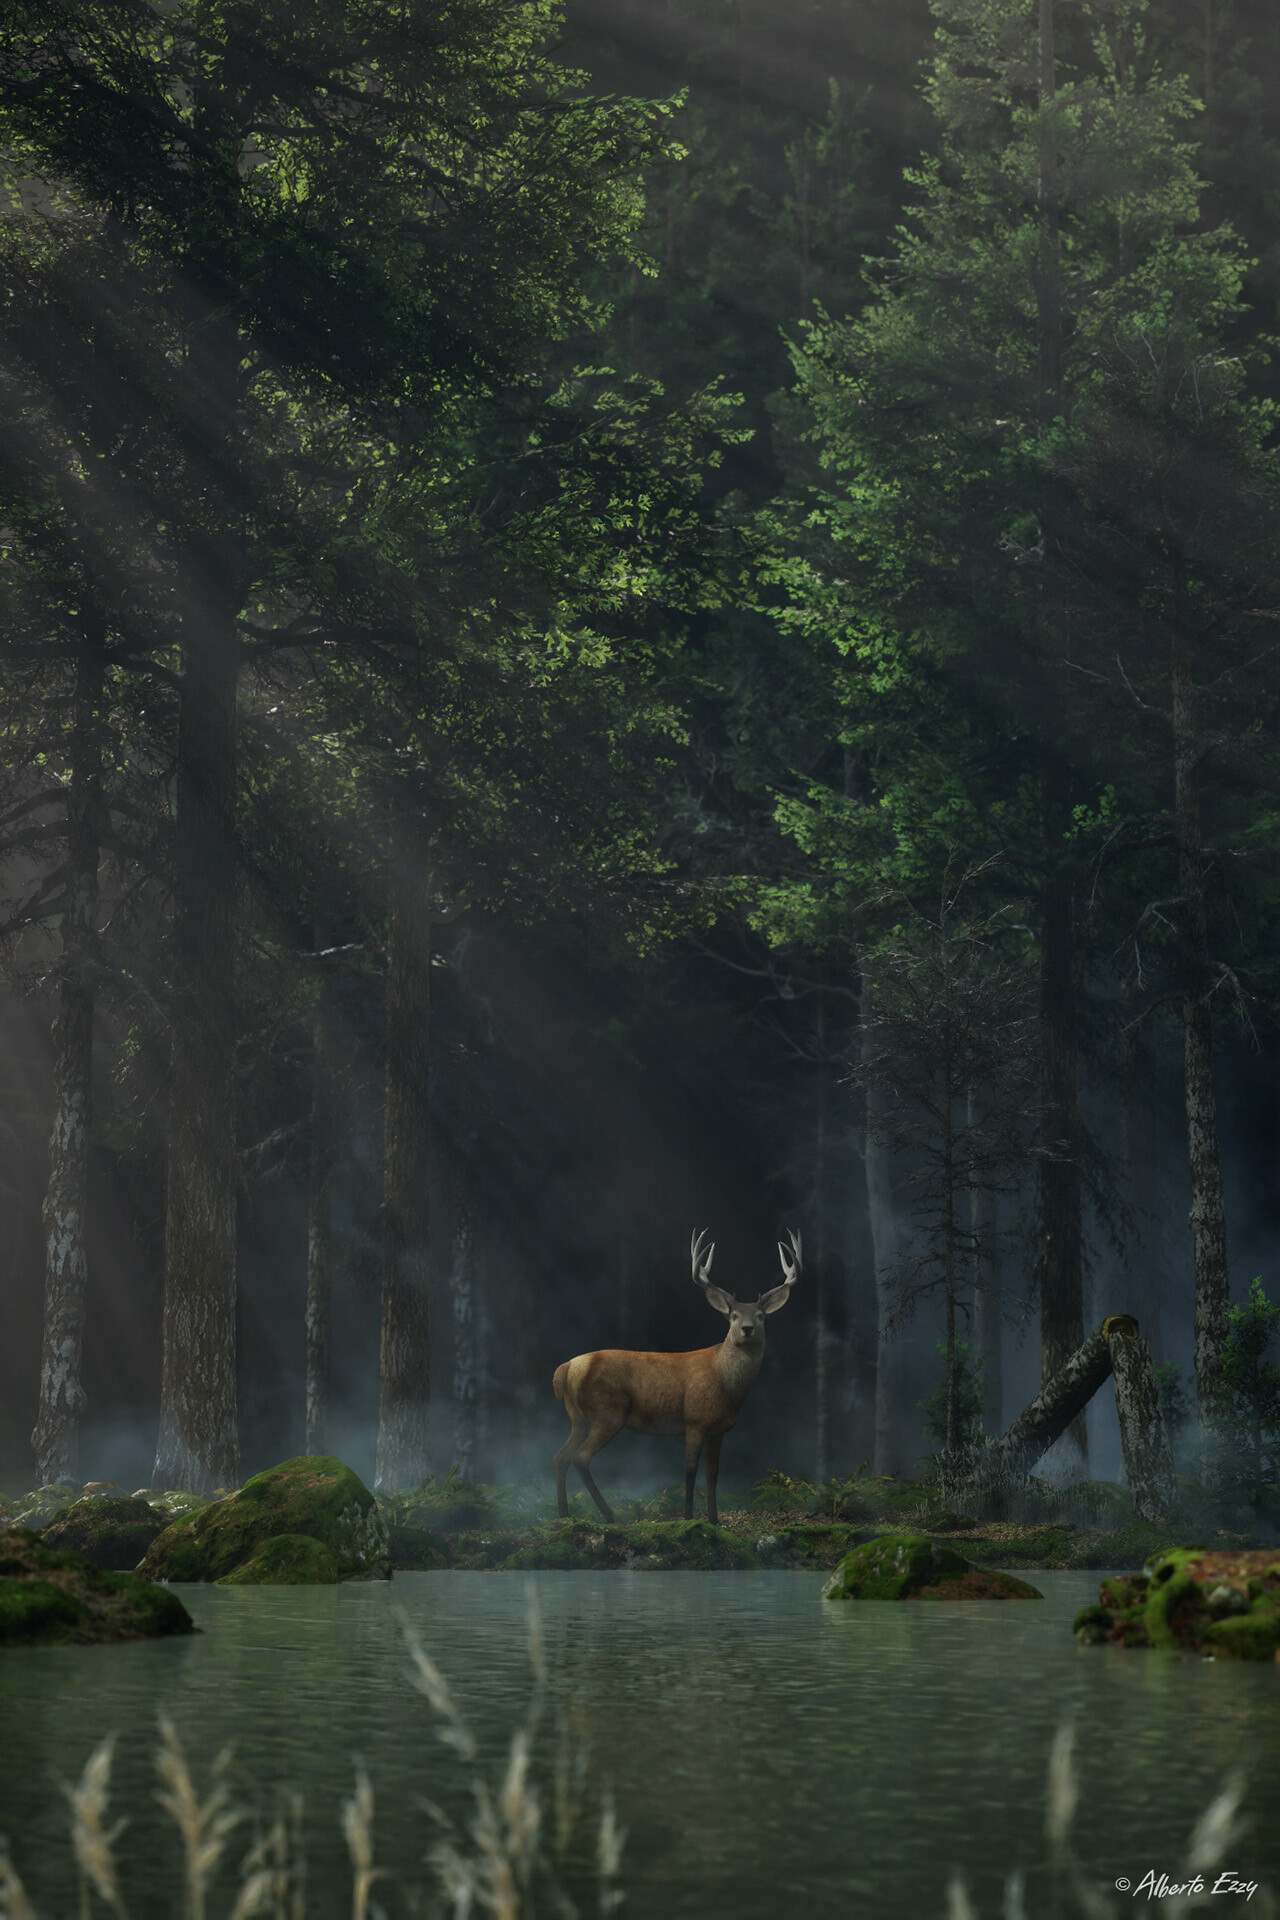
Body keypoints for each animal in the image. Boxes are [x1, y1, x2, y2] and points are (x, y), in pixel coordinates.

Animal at [552, 1228, 800, 1526]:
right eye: (733, 1316)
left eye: (761, 1315)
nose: (748, 1329)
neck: (726, 1383)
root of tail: (567, 1367)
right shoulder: (695, 1420)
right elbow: (689, 1472)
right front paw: (689, 1517)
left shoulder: (718, 1429)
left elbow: (713, 1475)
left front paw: (714, 1520)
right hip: (607, 1413)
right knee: (580, 1457)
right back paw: (608, 1515)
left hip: (578, 1417)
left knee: (560, 1455)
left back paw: (564, 1516)